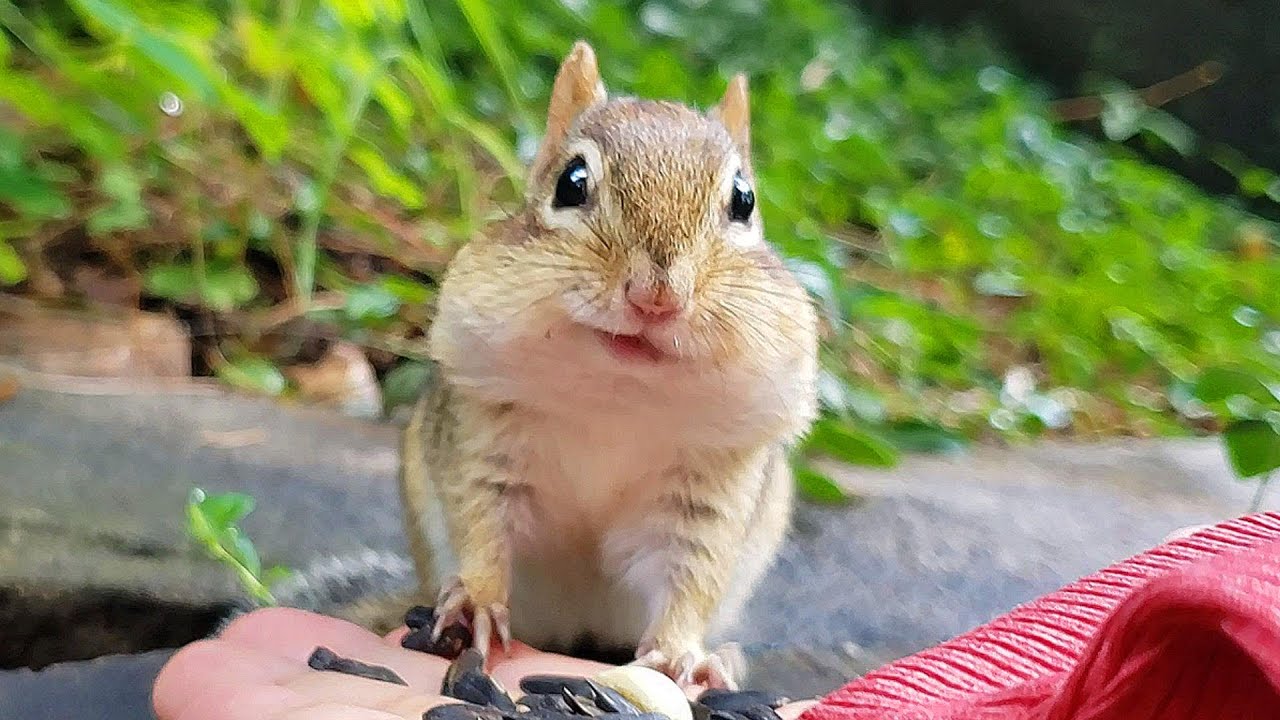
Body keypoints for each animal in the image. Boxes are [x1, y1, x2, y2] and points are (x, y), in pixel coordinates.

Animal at [256, 41, 819, 691]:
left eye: (744, 201)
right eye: (571, 183)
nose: (656, 295)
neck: (620, 395)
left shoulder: (711, 491)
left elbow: (691, 577)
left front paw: (685, 654)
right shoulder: (485, 443)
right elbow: (483, 527)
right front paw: (476, 601)